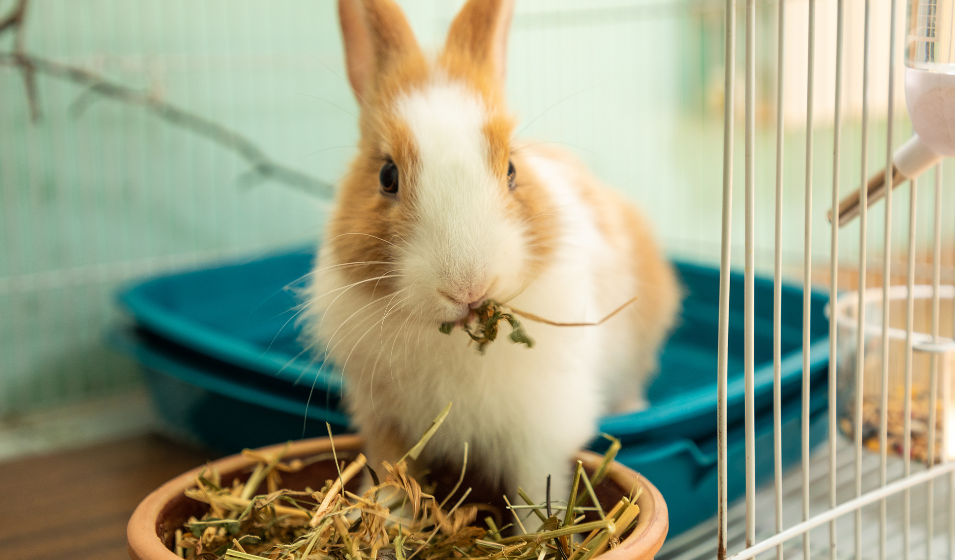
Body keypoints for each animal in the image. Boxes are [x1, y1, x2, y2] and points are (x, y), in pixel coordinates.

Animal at [303, 0, 681, 507]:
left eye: (512, 170)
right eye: (386, 176)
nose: (469, 288)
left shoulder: (539, 432)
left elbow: (536, 495)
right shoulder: (387, 424)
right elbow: (392, 482)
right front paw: (383, 516)